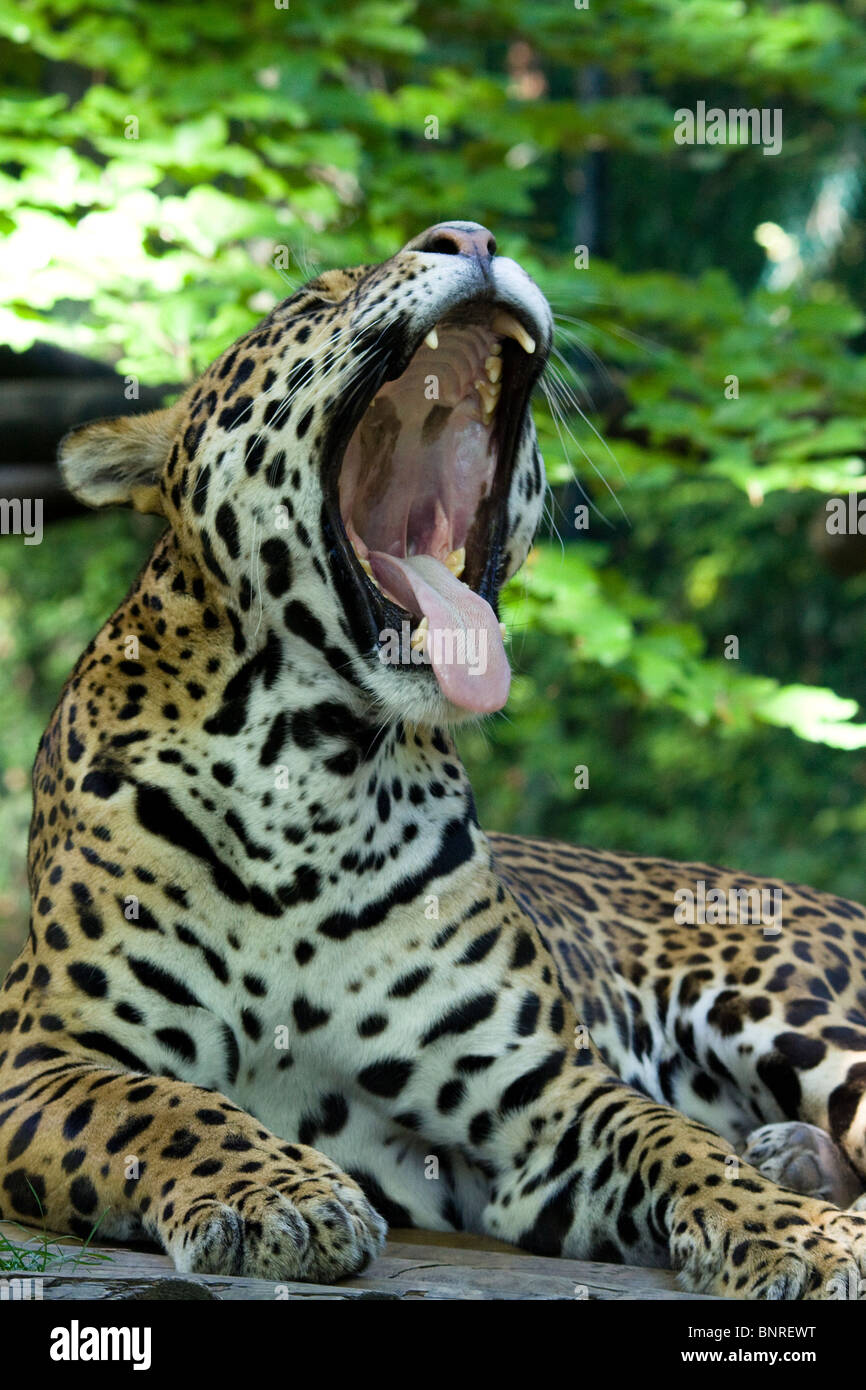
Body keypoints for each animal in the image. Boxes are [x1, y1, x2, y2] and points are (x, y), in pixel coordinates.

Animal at [3, 219, 866, 1300]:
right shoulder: (41, 1057)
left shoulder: (542, 1089)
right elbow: (162, 1106)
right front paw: (283, 1194)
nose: (473, 237)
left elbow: (674, 1140)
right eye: (311, 300)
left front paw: (794, 1233)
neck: (307, 773)